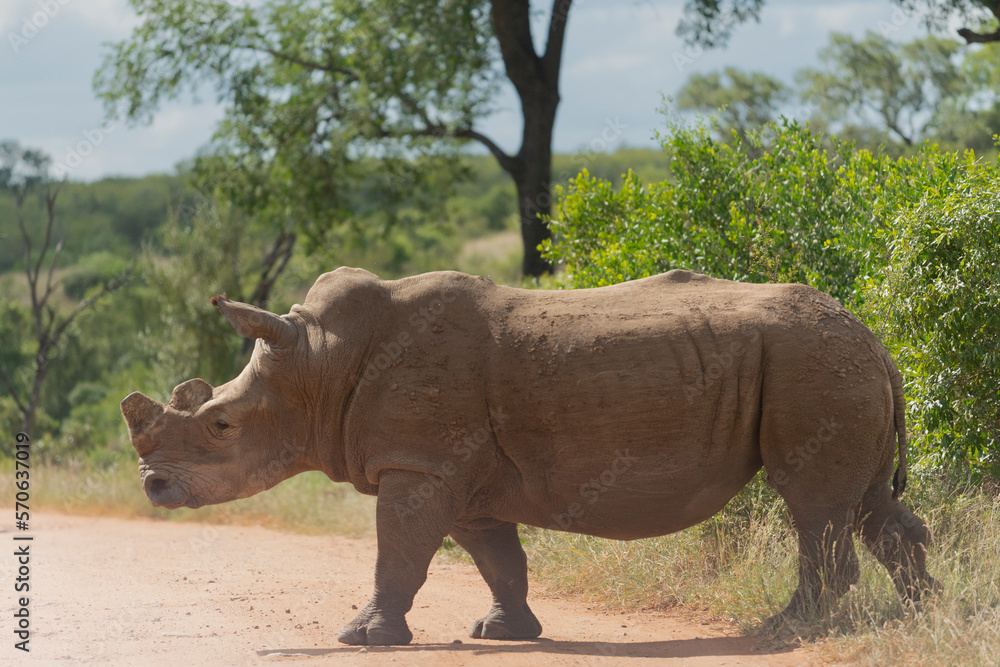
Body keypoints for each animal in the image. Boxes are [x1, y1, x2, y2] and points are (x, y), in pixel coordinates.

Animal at [121, 268, 937, 645]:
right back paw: (919, 616)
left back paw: (785, 631)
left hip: (809, 363)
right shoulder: (454, 470)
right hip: (831, 362)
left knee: (814, 505)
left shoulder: (418, 463)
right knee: (868, 506)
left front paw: (361, 637)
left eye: (221, 426)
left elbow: (398, 553)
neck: (318, 361)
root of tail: (876, 339)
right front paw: (504, 633)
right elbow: (495, 556)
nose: (153, 486)